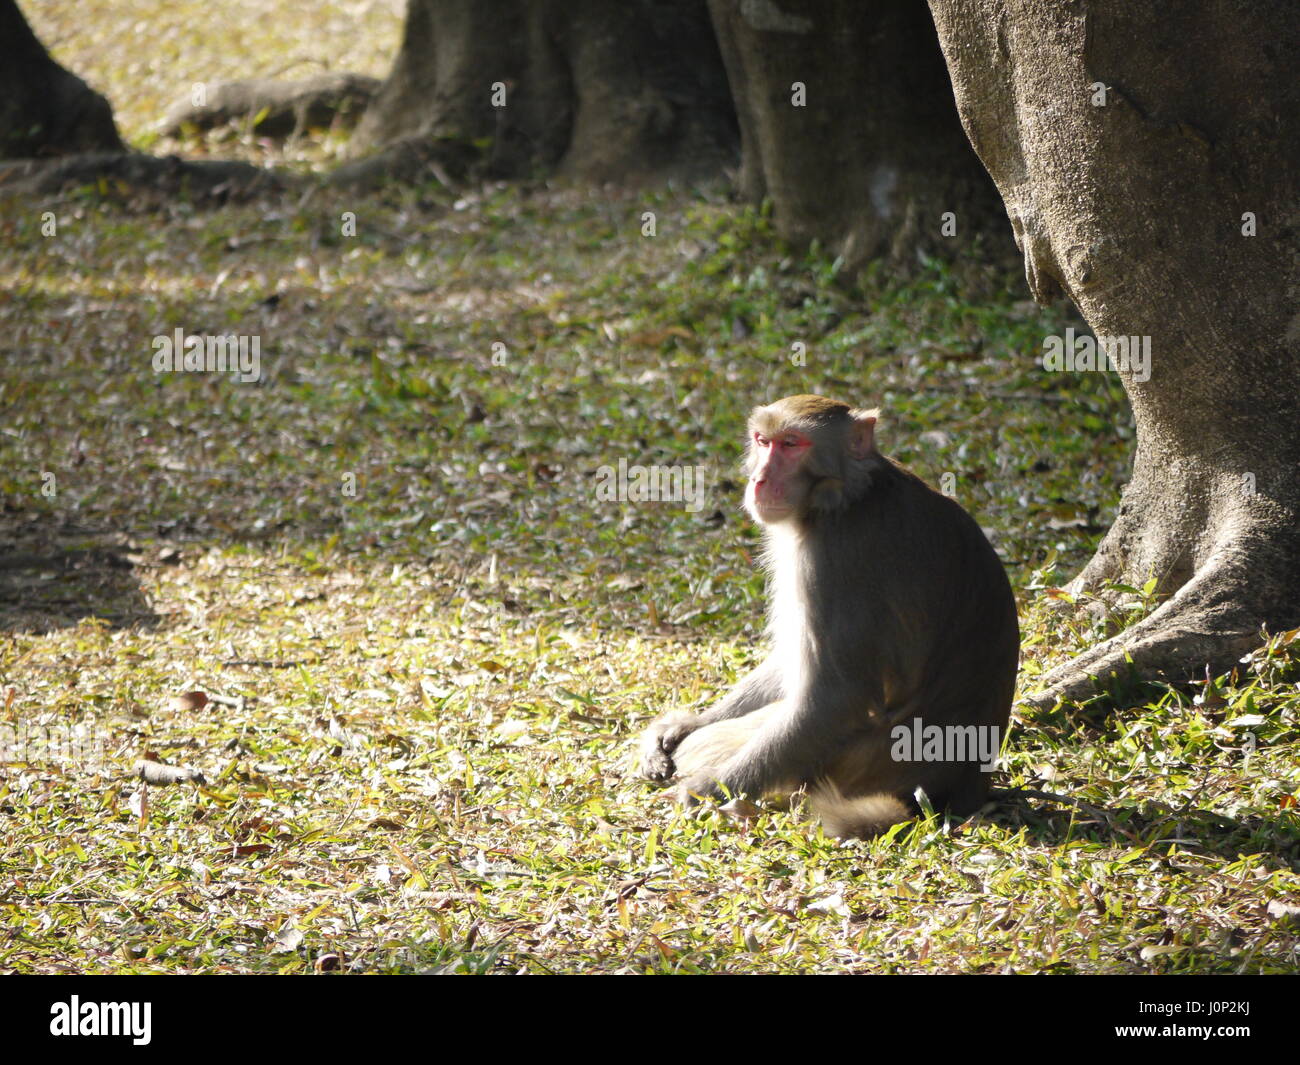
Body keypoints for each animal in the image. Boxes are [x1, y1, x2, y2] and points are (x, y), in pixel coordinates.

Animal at [639, 395, 1019, 838]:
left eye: (791, 444)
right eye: (763, 441)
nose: (759, 480)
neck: (847, 496)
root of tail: (964, 789)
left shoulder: (836, 558)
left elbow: (836, 699)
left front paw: (706, 790)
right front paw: (680, 727)